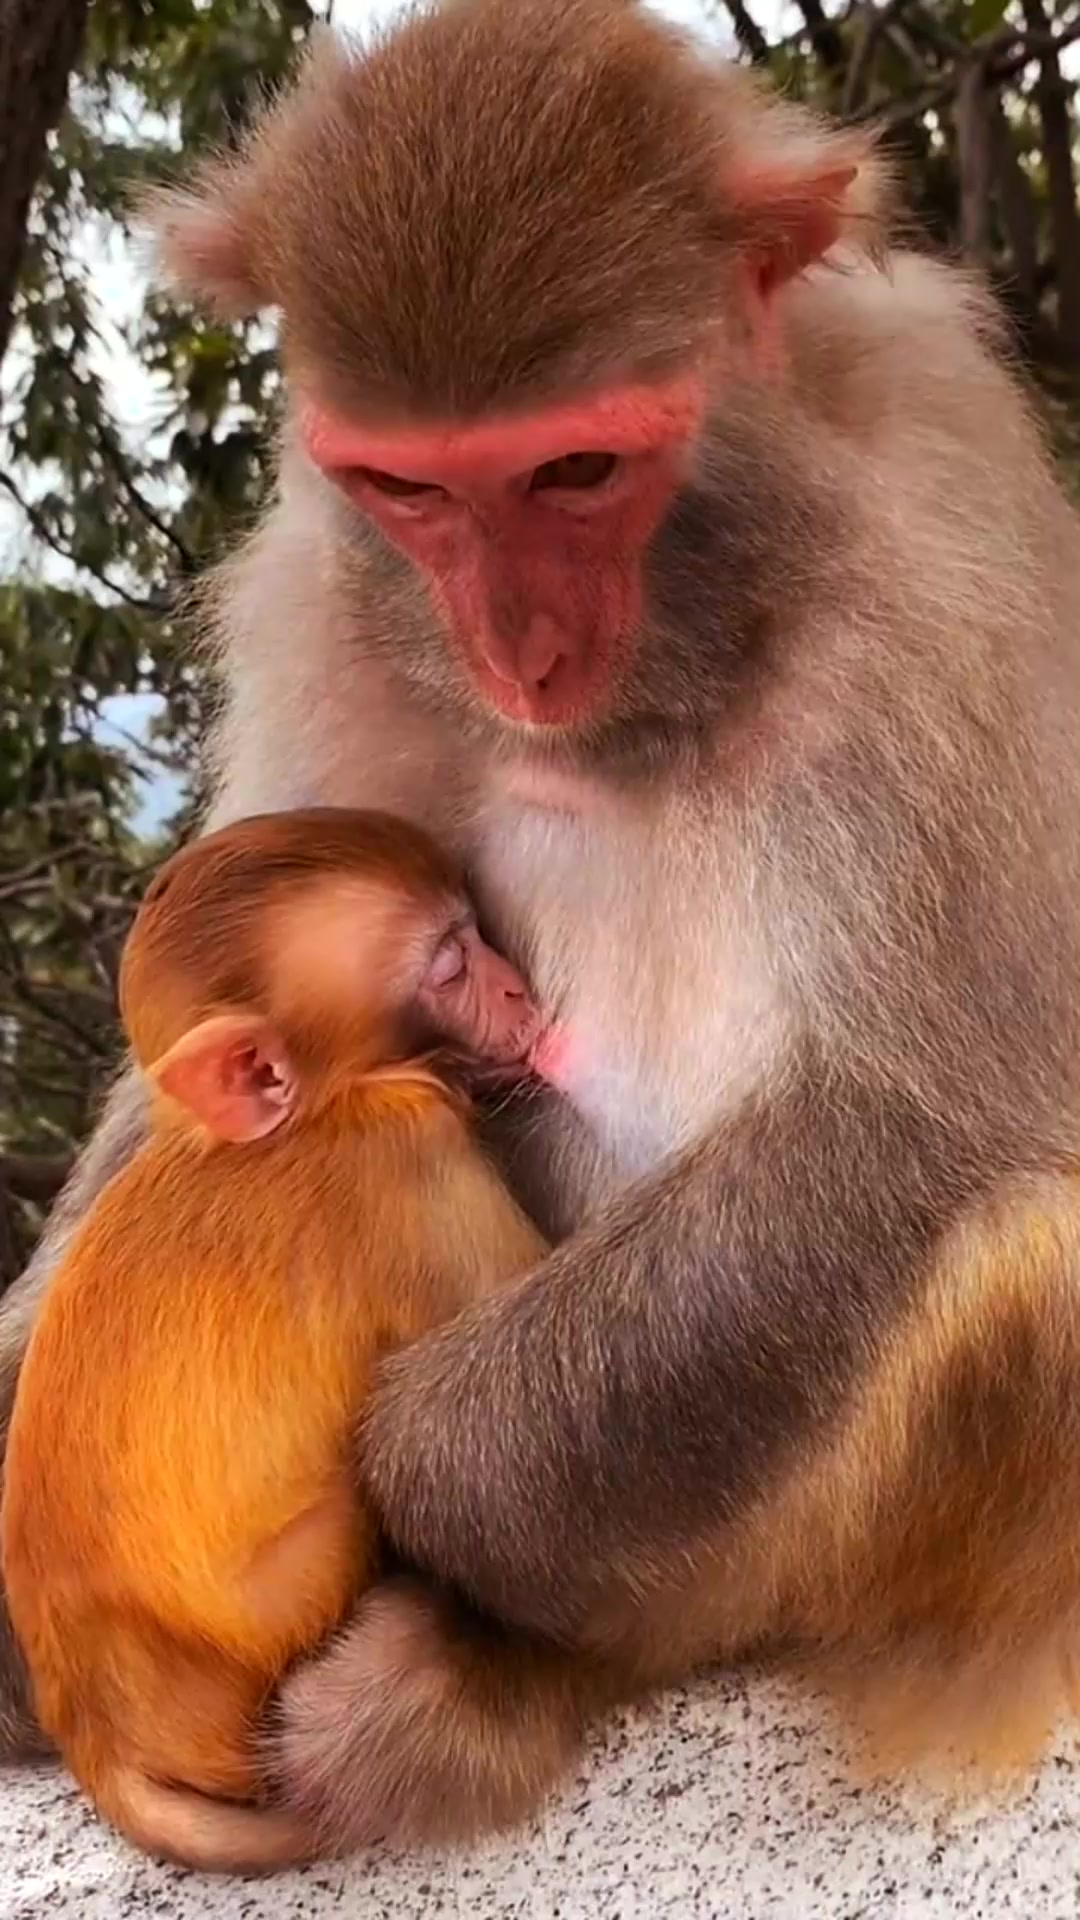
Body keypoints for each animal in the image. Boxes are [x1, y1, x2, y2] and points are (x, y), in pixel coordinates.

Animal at [0, 806, 553, 1872]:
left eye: (478, 930)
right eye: (450, 964)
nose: (515, 986)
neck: (305, 1116)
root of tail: (93, 1729)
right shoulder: (410, 1160)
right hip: (277, 1610)